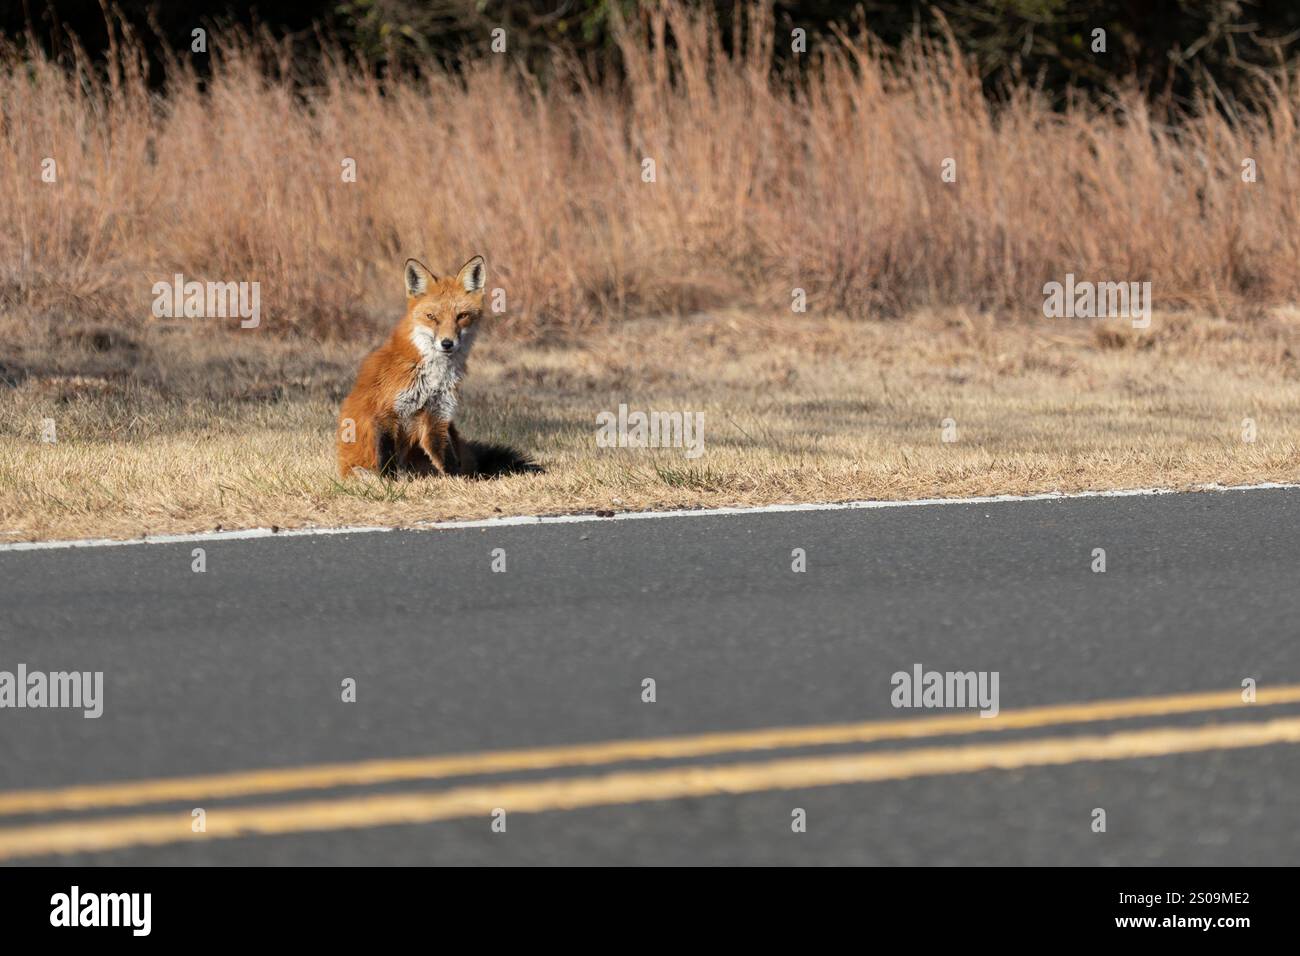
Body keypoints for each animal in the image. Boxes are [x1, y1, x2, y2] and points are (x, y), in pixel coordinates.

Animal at [336, 255, 489, 478]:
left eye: (461, 316)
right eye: (431, 317)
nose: (447, 343)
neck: (432, 377)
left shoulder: (437, 416)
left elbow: (448, 460)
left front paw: (457, 481)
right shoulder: (384, 413)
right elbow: (386, 458)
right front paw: (388, 482)